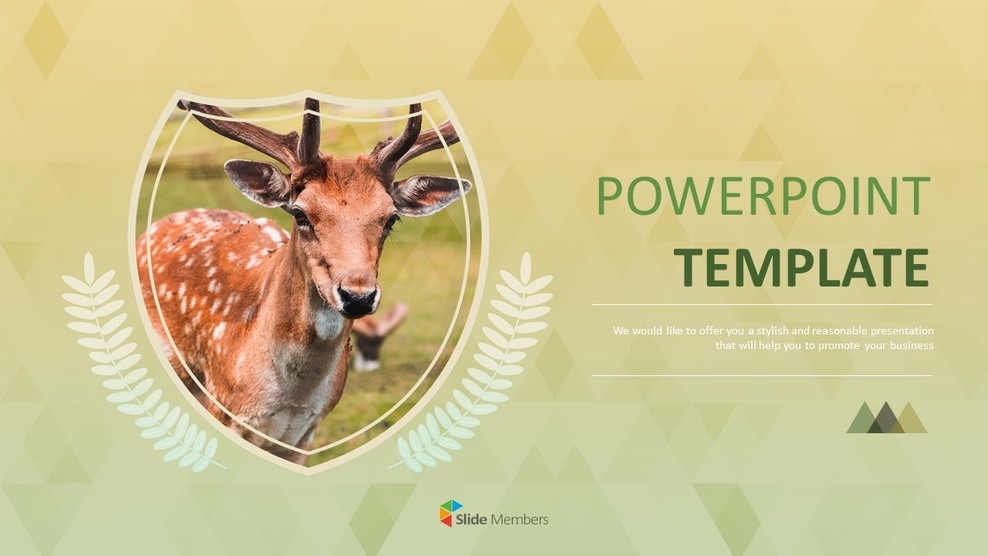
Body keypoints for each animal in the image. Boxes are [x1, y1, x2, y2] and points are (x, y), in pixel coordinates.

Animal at [136, 98, 470, 464]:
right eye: (300, 214)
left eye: (391, 219)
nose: (358, 296)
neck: (291, 399)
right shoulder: (222, 404)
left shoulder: (306, 433)